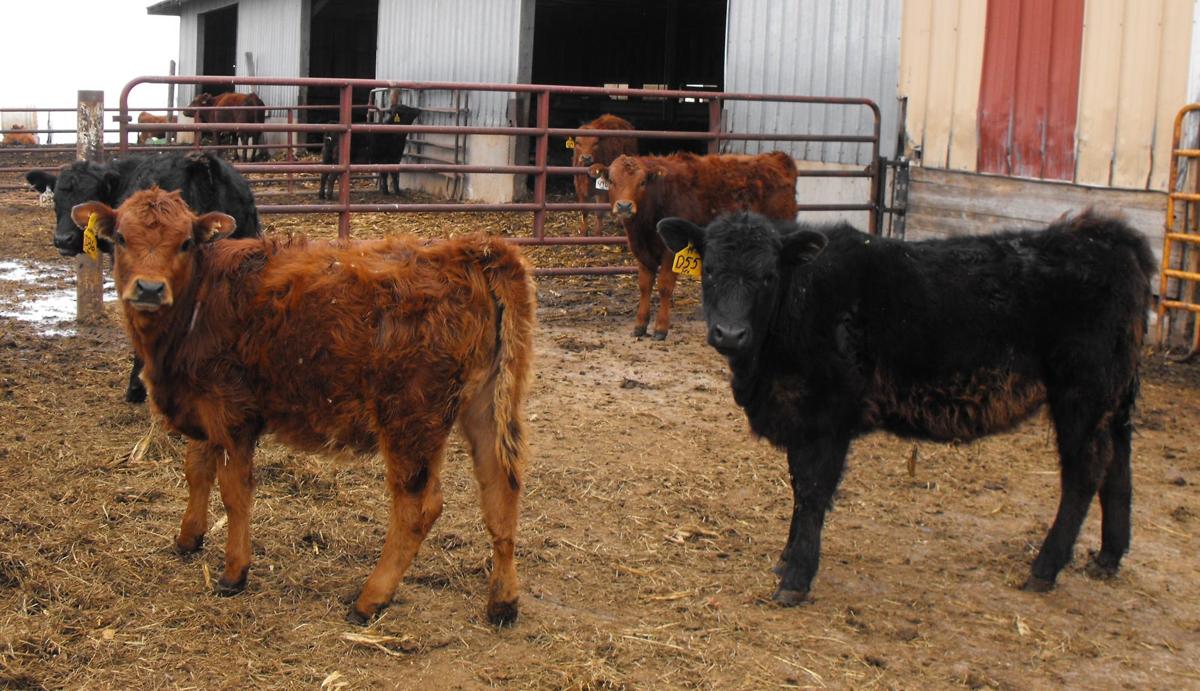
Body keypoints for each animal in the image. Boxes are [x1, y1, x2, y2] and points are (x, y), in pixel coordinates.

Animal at [70, 187, 536, 626]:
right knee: (501, 488)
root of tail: (468, 250)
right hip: (485, 406)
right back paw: (503, 602)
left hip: (411, 417)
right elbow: (196, 471)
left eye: (185, 242)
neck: (200, 296)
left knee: (419, 507)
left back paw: (370, 599)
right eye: (121, 237)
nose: (149, 288)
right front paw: (189, 538)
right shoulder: (203, 406)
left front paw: (234, 572)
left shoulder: (231, 412)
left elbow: (234, 492)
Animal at [590, 151, 797, 340]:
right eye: (612, 181)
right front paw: (640, 325)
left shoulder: (671, 252)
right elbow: (644, 285)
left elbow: (664, 286)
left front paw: (661, 328)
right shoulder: (642, 251)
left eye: (642, 182)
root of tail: (777, 158)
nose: (624, 206)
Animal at [657, 210, 1155, 606]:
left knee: (1084, 473)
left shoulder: (826, 417)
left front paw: (796, 576)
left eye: (768, 276)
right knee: (1118, 461)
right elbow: (798, 488)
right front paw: (785, 559)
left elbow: (813, 491)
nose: (729, 333)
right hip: (1114, 395)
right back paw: (1108, 557)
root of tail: (1099, 234)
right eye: (708, 270)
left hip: (1083, 393)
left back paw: (1045, 567)